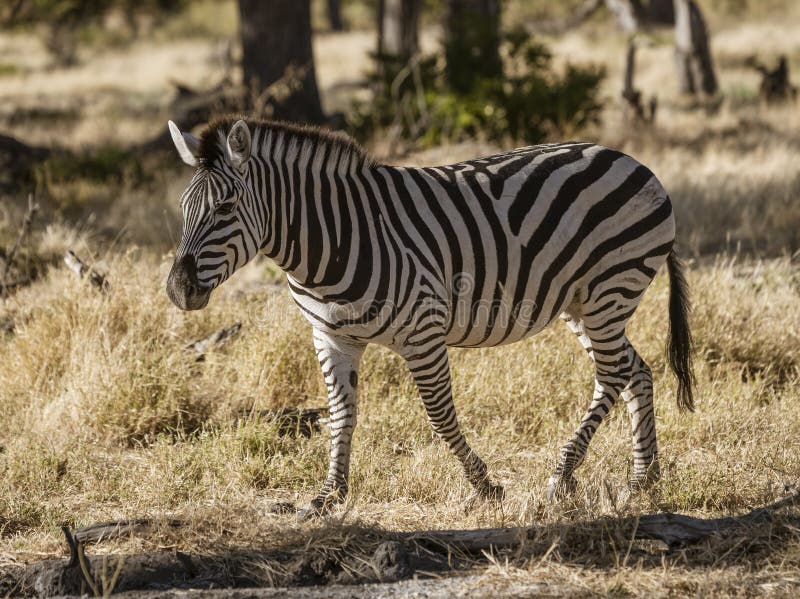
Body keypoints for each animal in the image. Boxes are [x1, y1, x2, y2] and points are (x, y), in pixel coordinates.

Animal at [166, 116, 694, 516]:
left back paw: (563, 476)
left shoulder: (423, 330)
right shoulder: (331, 337)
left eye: (226, 207)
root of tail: (633, 162)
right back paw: (643, 479)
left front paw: (485, 486)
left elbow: (439, 416)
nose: (177, 289)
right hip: (584, 303)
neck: (328, 244)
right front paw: (329, 496)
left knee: (613, 374)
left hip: (609, 288)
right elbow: (340, 414)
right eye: (183, 209)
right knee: (636, 370)